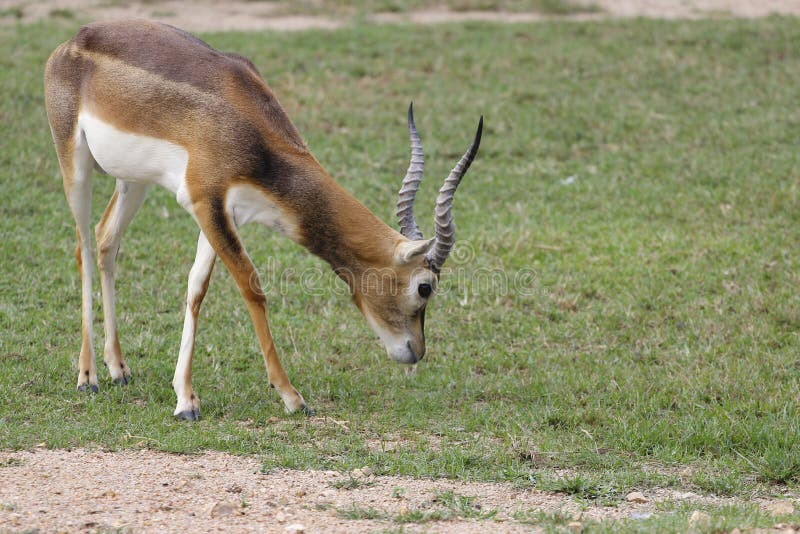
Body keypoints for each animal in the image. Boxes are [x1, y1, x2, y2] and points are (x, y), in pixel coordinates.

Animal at [44, 20, 482, 420]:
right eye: (425, 287)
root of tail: (74, 40)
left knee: (105, 241)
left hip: (133, 181)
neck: (249, 127)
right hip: (74, 164)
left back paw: (119, 368)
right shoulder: (205, 201)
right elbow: (252, 288)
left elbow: (196, 289)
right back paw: (88, 377)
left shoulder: (223, 213)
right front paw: (290, 396)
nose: (416, 352)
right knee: (83, 248)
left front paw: (184, 397)